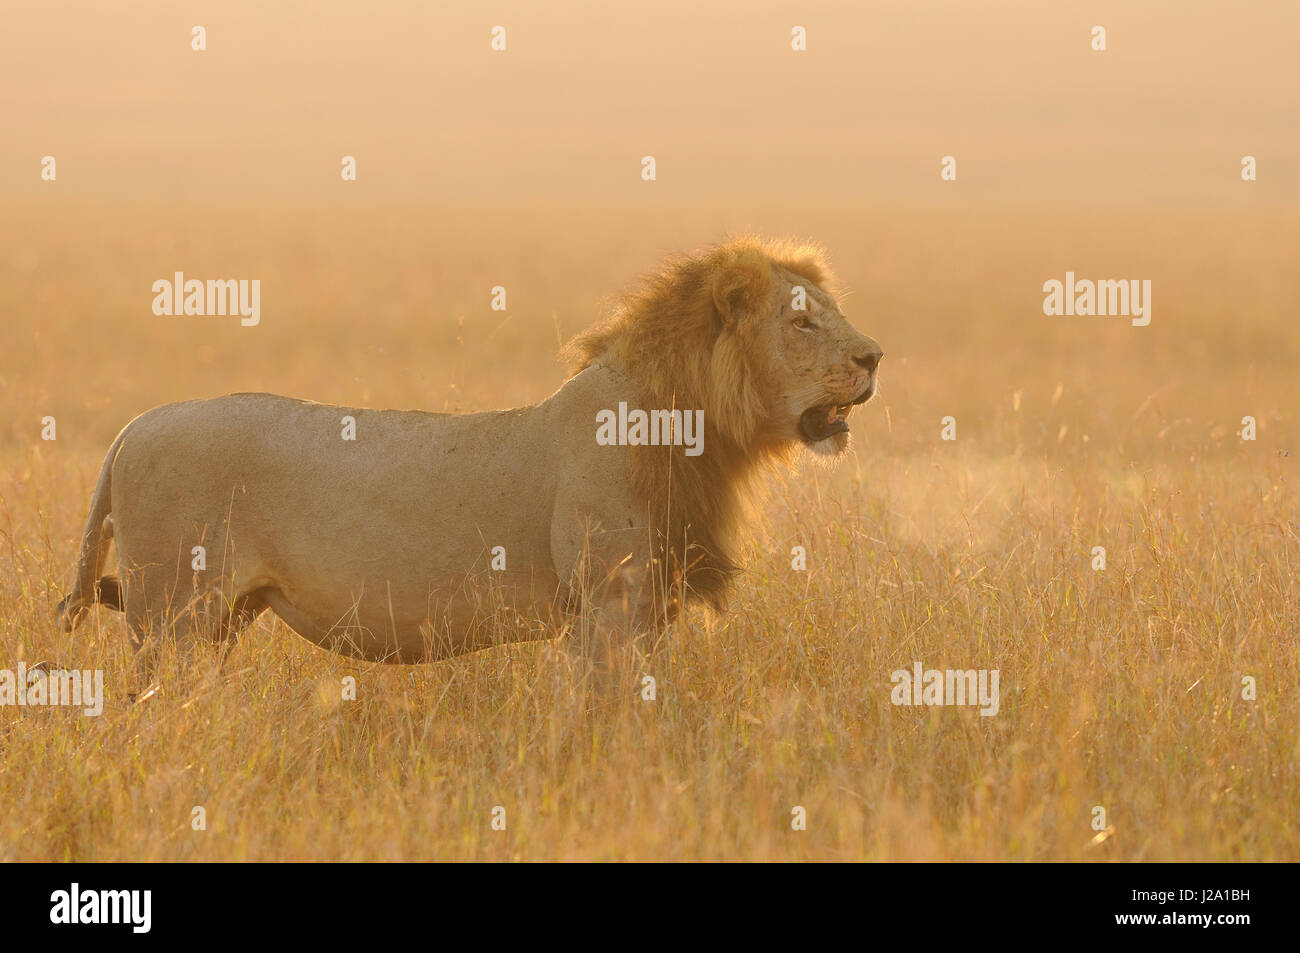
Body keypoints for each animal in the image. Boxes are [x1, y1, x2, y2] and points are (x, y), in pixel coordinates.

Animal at [57, 237, 882, 672]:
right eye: (802, 323)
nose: (875, 355)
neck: (692, 433)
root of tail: (130, 428)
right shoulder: (609, 604)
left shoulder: (643, 609)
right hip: (171, 616)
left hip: (216, 618)